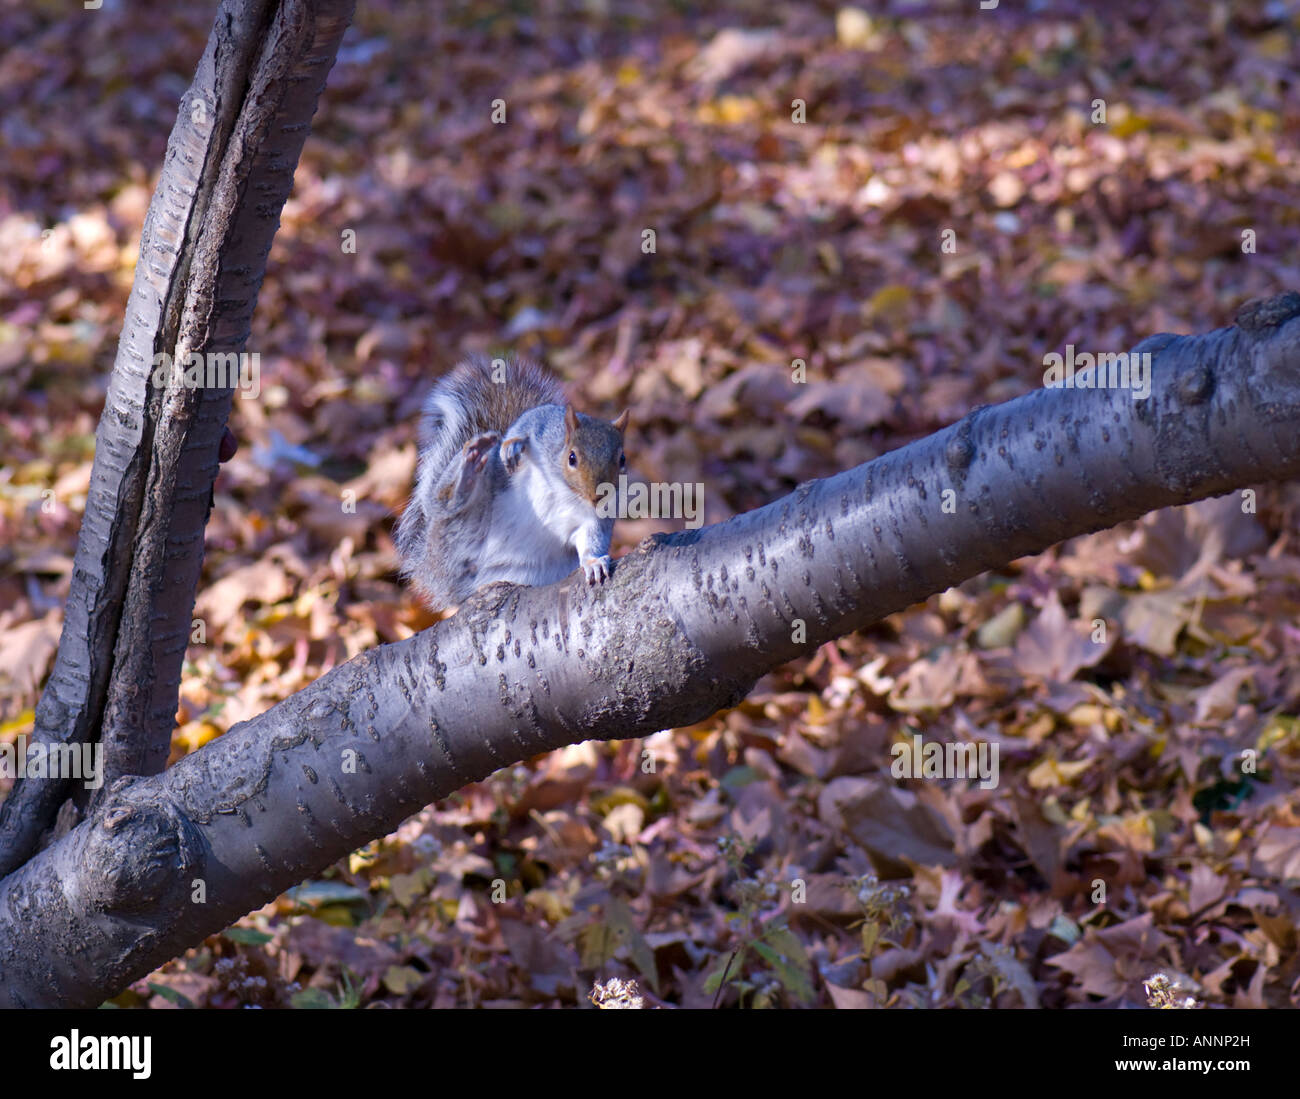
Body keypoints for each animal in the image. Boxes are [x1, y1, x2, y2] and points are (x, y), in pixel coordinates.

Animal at [395, 355, 629, 612]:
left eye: (622, 459)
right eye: (572, 458)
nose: (598, 496)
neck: (568, 492)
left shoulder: (595, 517)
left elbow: (592, 537)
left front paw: (594, 562)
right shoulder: (544, 426)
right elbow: (525, 423)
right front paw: (512, 445)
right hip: (459, 524)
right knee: (446, 500)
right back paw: (467, 471)